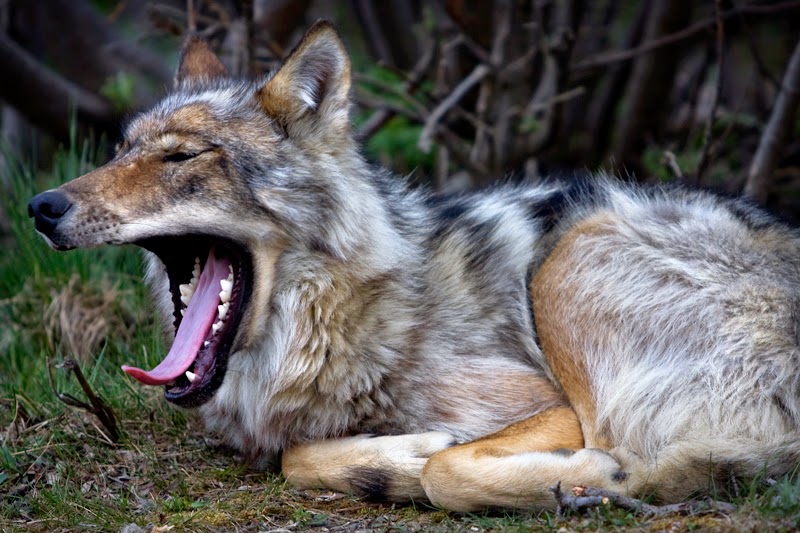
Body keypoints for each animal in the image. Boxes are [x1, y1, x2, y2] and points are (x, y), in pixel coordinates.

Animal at [28, 21, 800, 511]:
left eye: (181, 157)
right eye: (122, 149)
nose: (41, 206)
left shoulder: (545, 405)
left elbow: (445, 467)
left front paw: (423, 460)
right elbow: (299, 456)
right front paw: (384, 457)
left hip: (569, 256)